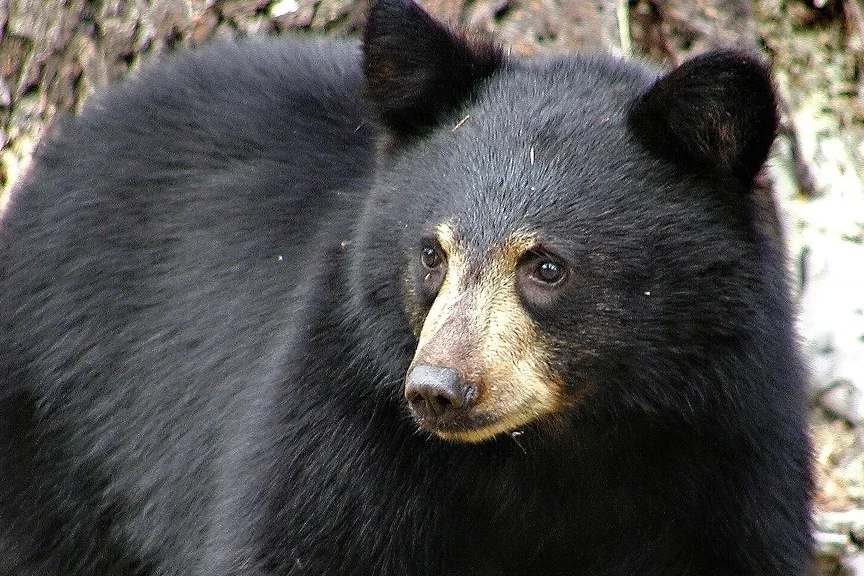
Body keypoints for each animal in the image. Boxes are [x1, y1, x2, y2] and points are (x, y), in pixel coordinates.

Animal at [0, 0, 813, 574]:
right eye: (431, 253)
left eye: (546, 266)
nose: (438, 390)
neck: (555, 451)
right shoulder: (343, 428)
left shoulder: (729, 449)